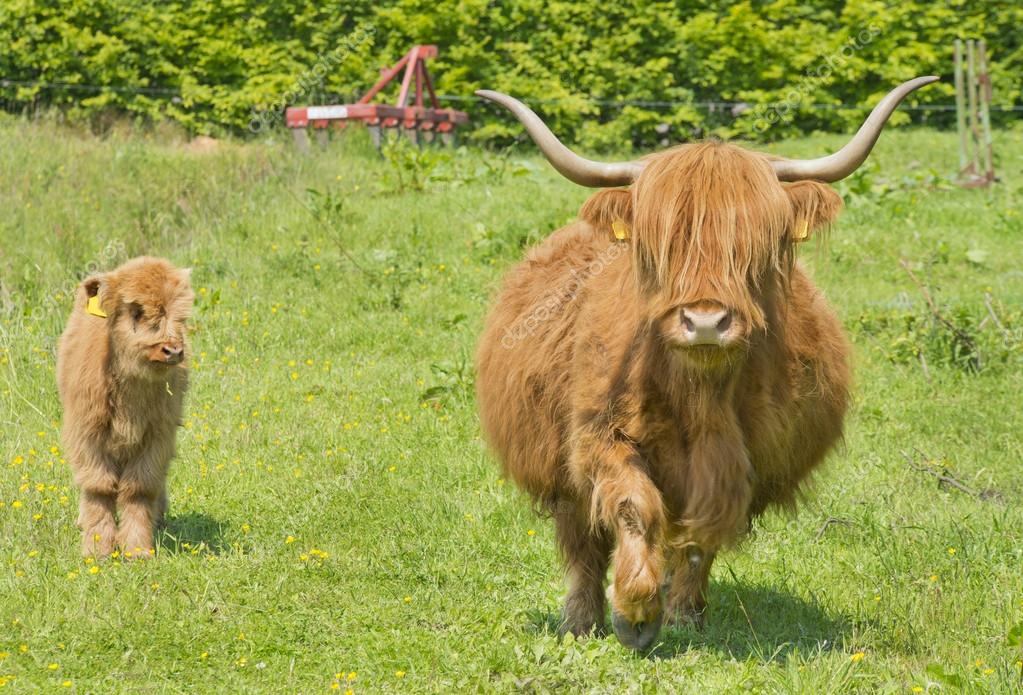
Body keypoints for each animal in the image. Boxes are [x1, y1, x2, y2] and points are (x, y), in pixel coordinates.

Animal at [57, 256, 194, 559]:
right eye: (136, 310)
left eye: (181, 315)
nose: (173, 351)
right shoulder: (87, 436)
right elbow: (99, 488)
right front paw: (97, 549)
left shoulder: (157, 438)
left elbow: (138, 489)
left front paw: (138, 549)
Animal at [475, 77, 937, 650]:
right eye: (662, 245)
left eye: (756, 244)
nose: (706, 321)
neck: (696, 393)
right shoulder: (596, 438)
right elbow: (632, 507)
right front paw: (634, 610)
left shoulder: (743, 460)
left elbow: (701, 534)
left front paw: (682, 615)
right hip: (556, 465)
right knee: (582, 541)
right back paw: (581, 622)